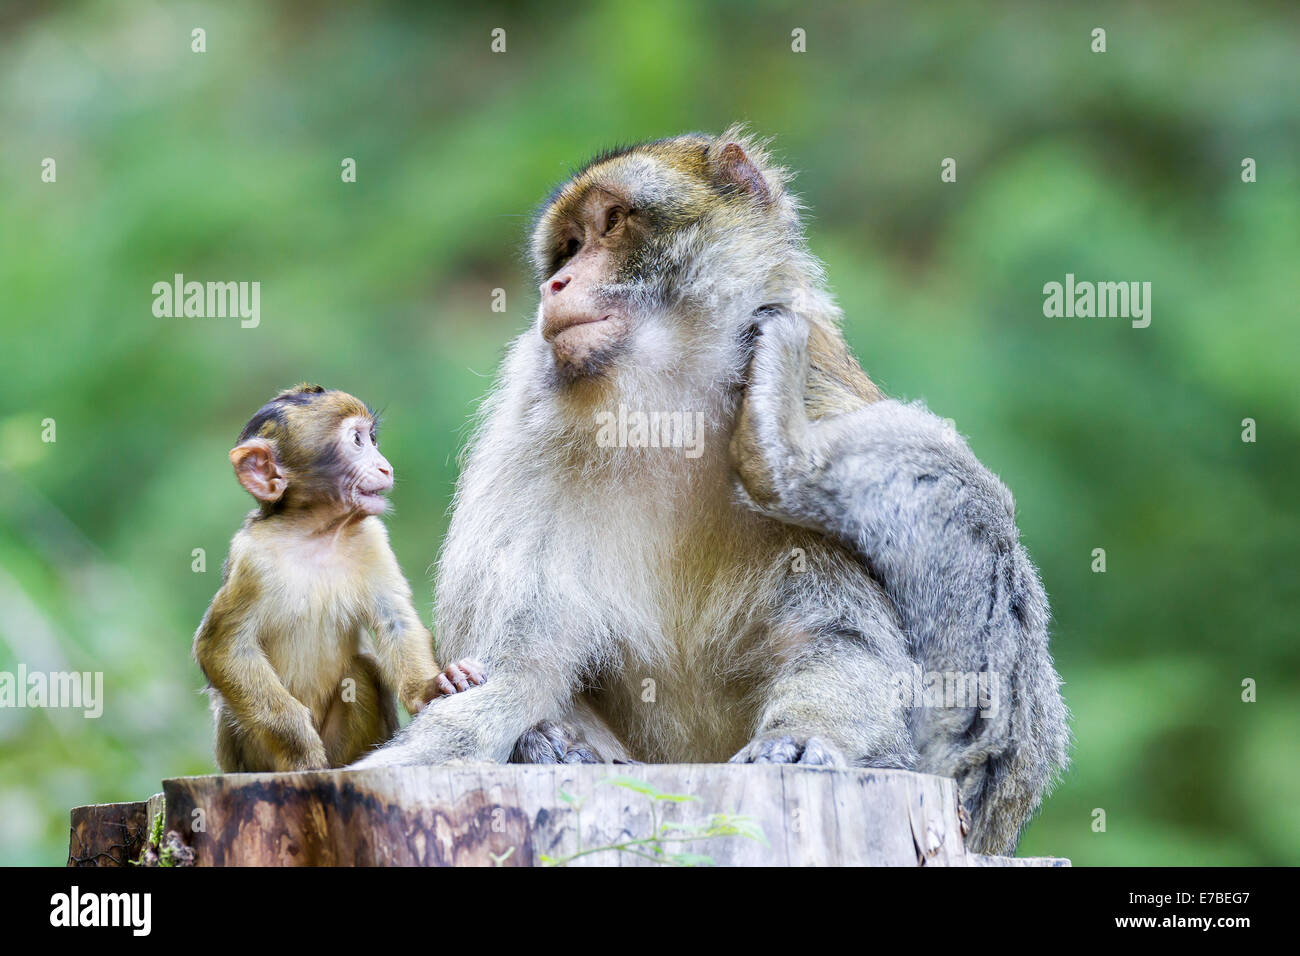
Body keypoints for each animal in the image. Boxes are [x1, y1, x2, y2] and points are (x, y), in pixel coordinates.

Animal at [193, 384, 486, 772]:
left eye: (372, 439)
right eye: (357, 441)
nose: (385, 466)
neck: (316, 534)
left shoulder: (373, 539)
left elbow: (396, 620)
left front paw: (433, 686)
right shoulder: (250, 559)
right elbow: (222, 646)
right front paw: (300, 751)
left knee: (362, 669)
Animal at [357, 129, 1068, 854]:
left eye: (611, 223)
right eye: (570, 247)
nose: (558, 282)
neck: (664, 411)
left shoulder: (818, 390)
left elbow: (842, 639)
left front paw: (800, 738)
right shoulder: (527, 440)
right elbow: (519, 668)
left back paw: (785, 461)